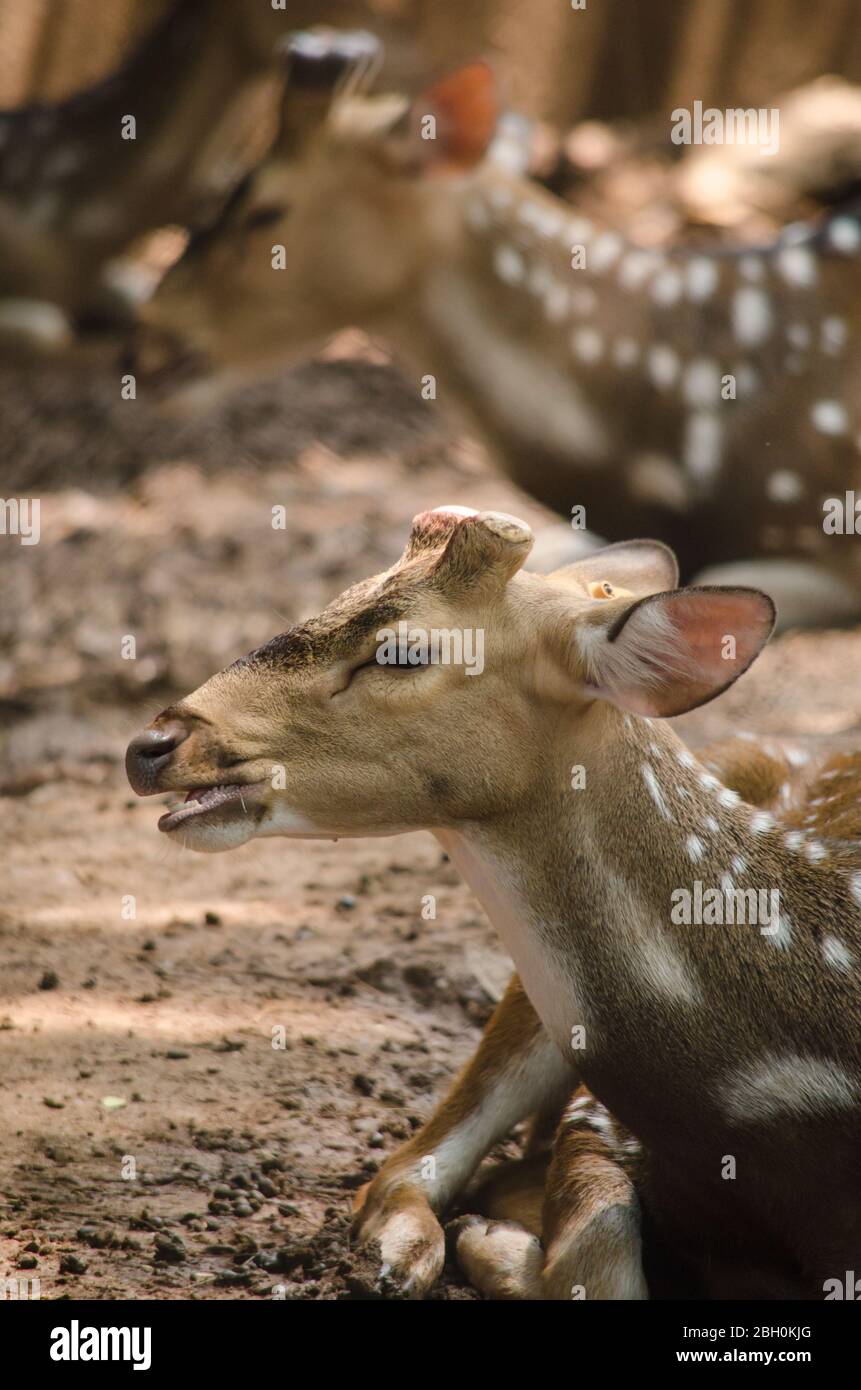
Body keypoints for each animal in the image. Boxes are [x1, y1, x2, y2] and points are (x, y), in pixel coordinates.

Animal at [125, 504, 861, 1299]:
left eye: (402, 652)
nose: (152, 745)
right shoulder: (600, 1120)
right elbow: (595, 1248)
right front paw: (491, 1239)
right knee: (397, 1171)